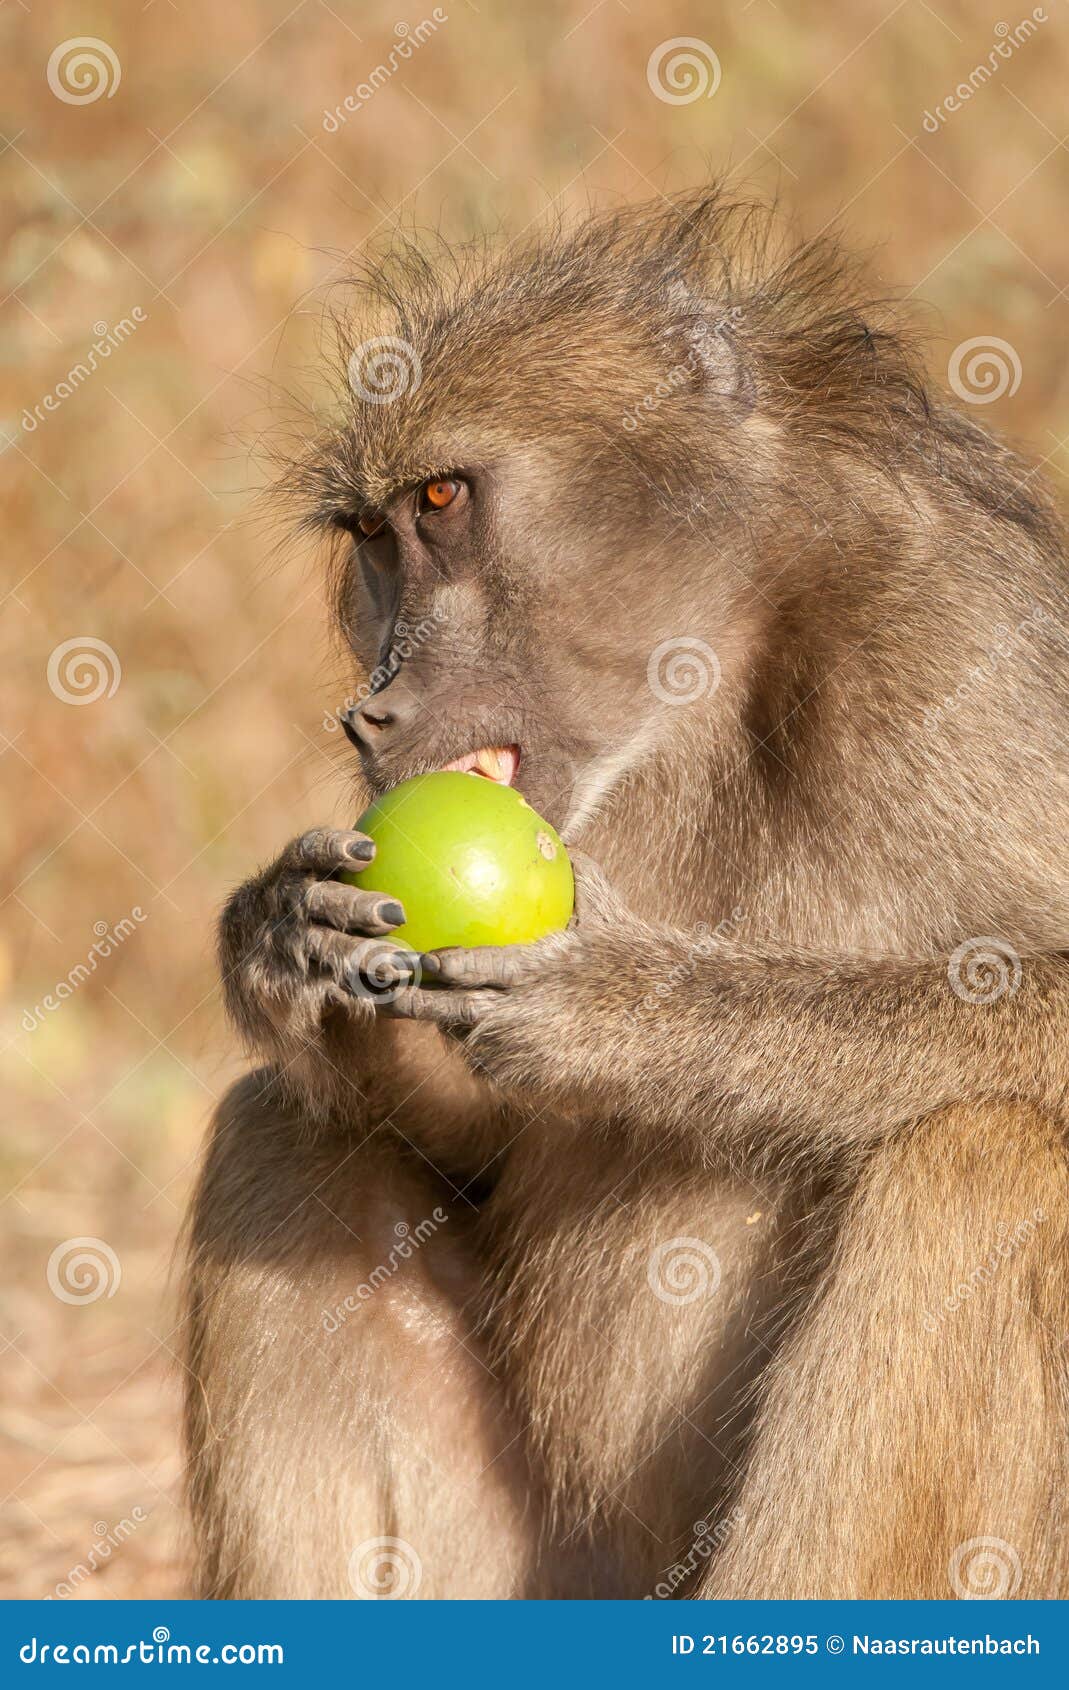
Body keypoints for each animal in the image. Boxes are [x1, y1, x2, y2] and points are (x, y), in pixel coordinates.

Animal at [182, 189, 1069, 1601]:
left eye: (442, 498)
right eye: (372, 540)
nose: (370, 712)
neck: (708, 692)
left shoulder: (953, 648)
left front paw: (640, 1008)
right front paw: (279, 937)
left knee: (985, 1152)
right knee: (281, 1124)